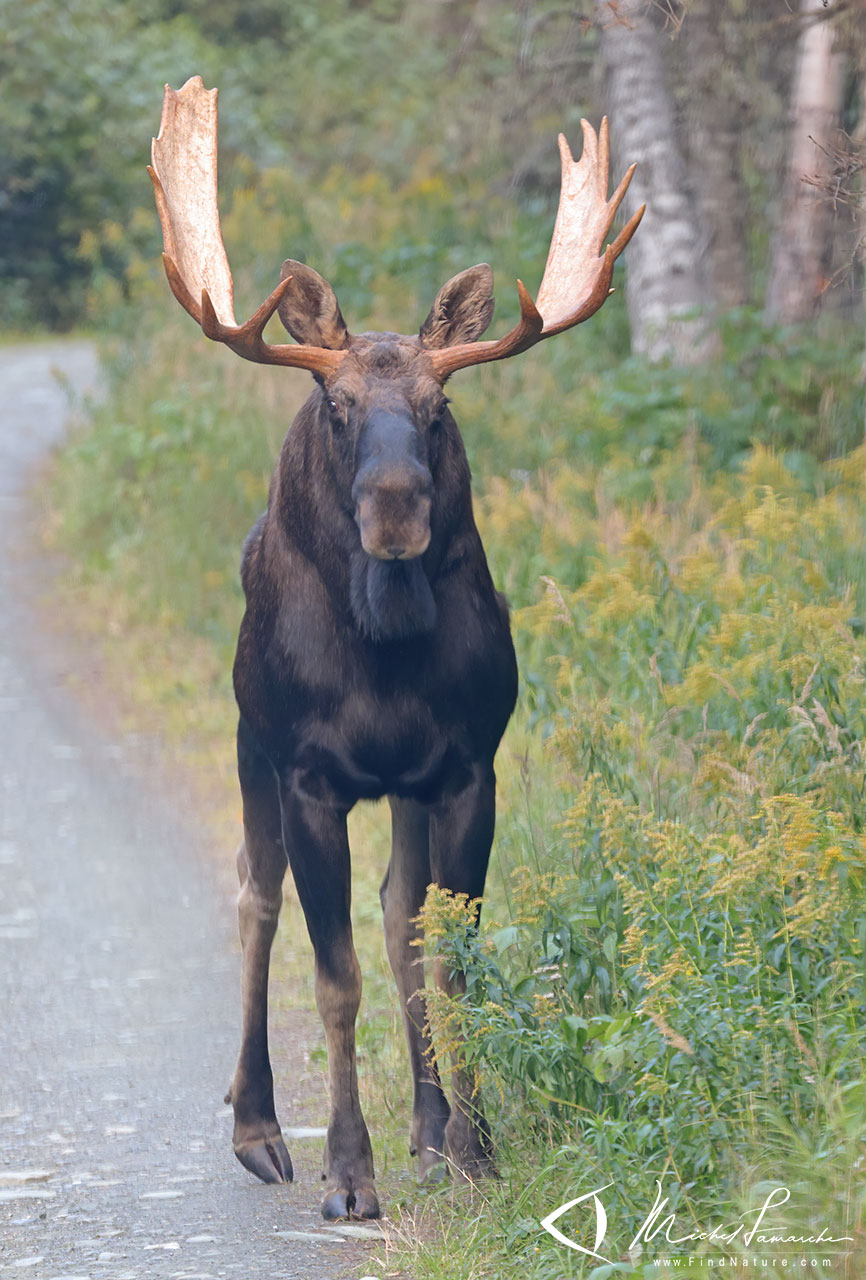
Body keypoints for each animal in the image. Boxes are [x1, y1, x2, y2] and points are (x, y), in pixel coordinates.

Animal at [149, 75, 642, 1222]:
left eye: (438, 406)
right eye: (336, 406)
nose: (395, 508)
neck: (380, 660)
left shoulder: (464, 766)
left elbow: (443, 957)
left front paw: (471, 1147)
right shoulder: (310, 772)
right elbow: (334, 977)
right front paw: (347, 1171)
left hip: (402, 790)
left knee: (393, 918)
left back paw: (424, 1131)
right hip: (248, 744)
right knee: (255, 896)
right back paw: (256, 1126)